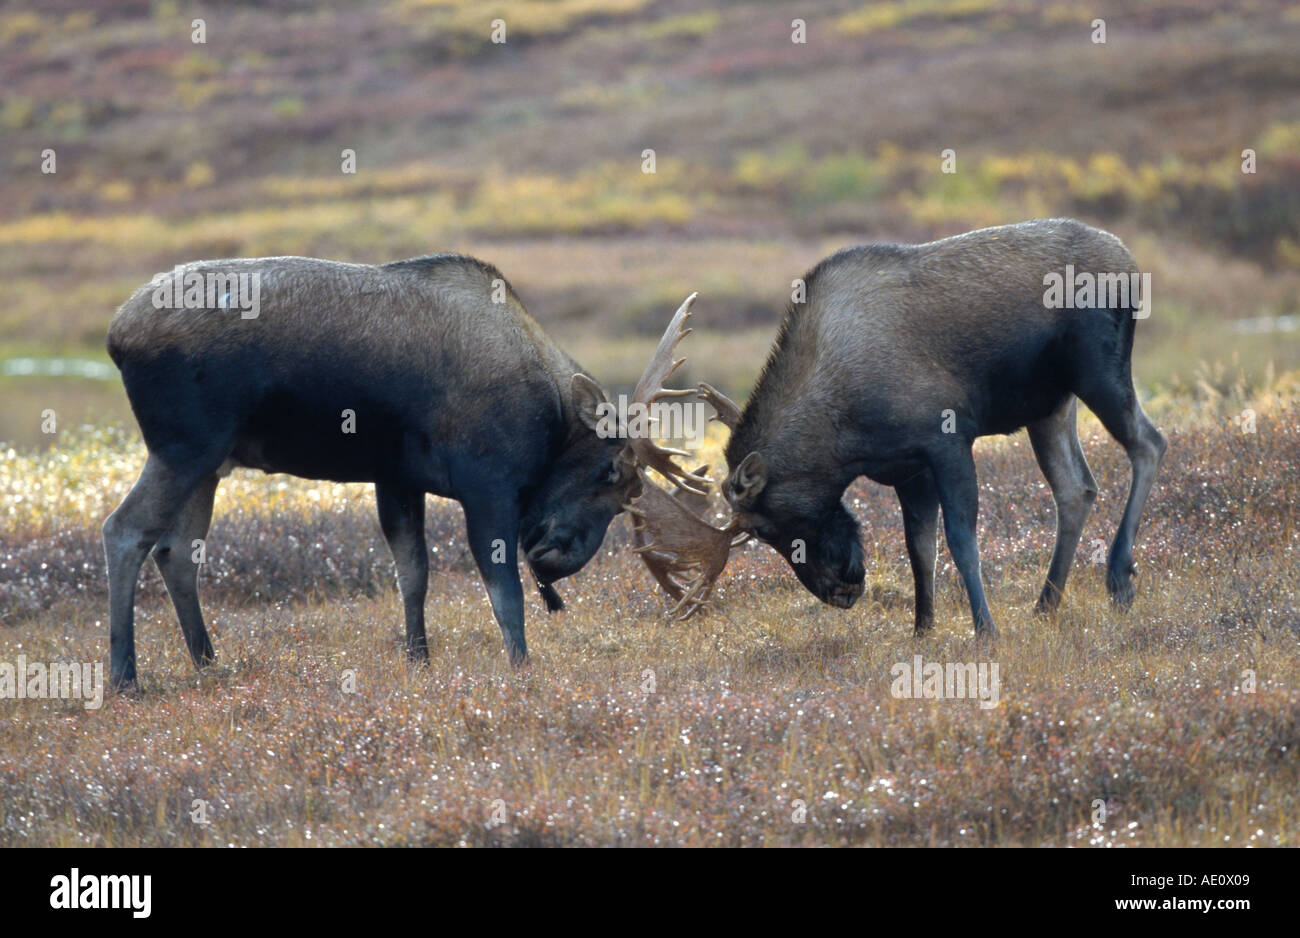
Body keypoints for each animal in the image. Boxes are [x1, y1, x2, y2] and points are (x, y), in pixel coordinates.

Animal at [103, 252, 704, 689]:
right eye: (612, 473)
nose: (561, 560)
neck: (552, 416)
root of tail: (115, 337)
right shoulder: (486, 484)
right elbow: (503, 593)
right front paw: (520, 667)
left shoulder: (396, 478)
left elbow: (413, 574)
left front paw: (419, 660)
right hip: (184, 447)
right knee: (124, 530)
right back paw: (124, 676)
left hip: (210, 463)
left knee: (176, 552)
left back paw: (208, 662)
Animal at [629, 219, 1168, 637]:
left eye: (763, 529)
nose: (839, 590)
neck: (843, 440)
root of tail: (1130, 262)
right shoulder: (909, 470)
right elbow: (919, 548)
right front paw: (922, 629)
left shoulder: (947, 439)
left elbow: (961, 540)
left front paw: (985, 629)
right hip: (1050, 406)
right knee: (1076, 489)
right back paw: (1046, 603)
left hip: (1099, 369)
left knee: (1150, 443)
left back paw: (1119, 576)